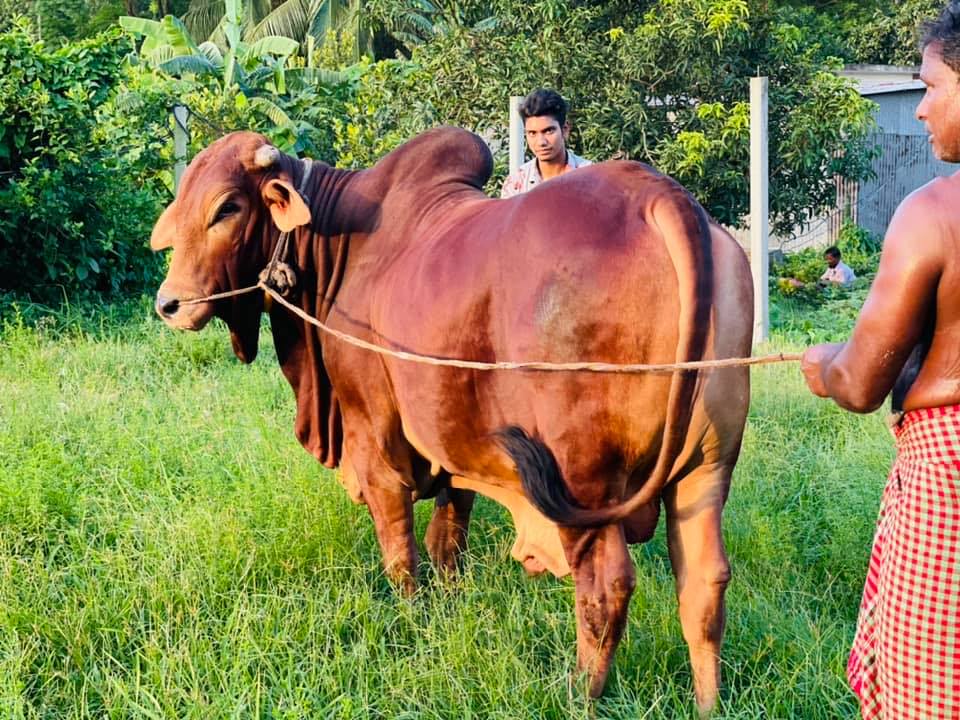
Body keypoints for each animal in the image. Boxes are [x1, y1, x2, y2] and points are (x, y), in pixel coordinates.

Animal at [150, 127, 753, 715]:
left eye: (227, 207)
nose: (169, 304)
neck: (337, 246)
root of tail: (658, 195)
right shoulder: (456, 446)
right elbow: (447, 542)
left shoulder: (377, 446)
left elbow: (401, 556)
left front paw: (412, 624)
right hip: (706, 469)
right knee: (704, 585)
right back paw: (707, 704)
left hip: (583, 478)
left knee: (606, 587)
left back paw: (578, 694)